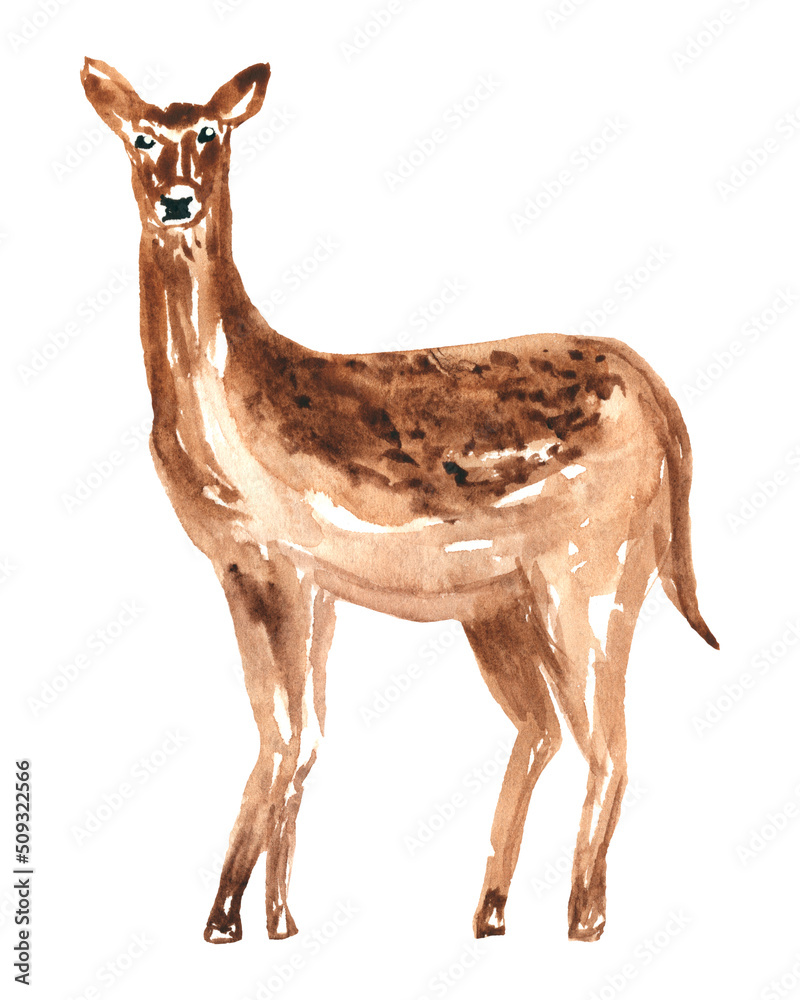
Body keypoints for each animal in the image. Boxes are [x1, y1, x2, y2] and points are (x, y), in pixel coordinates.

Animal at [80, 57, 718, 945]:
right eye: (142, 136)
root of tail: (663, 403)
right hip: (500, 601)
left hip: (594, 563)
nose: (177, 199)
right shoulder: (256, 568)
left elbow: (288, 733)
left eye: (210, 131)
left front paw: (226, 918)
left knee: (607, 741)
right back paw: (490, 913)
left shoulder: (285, 560)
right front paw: (275, 918)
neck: (221, 420)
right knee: (545, 727)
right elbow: (298, 732)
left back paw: (581, 922)